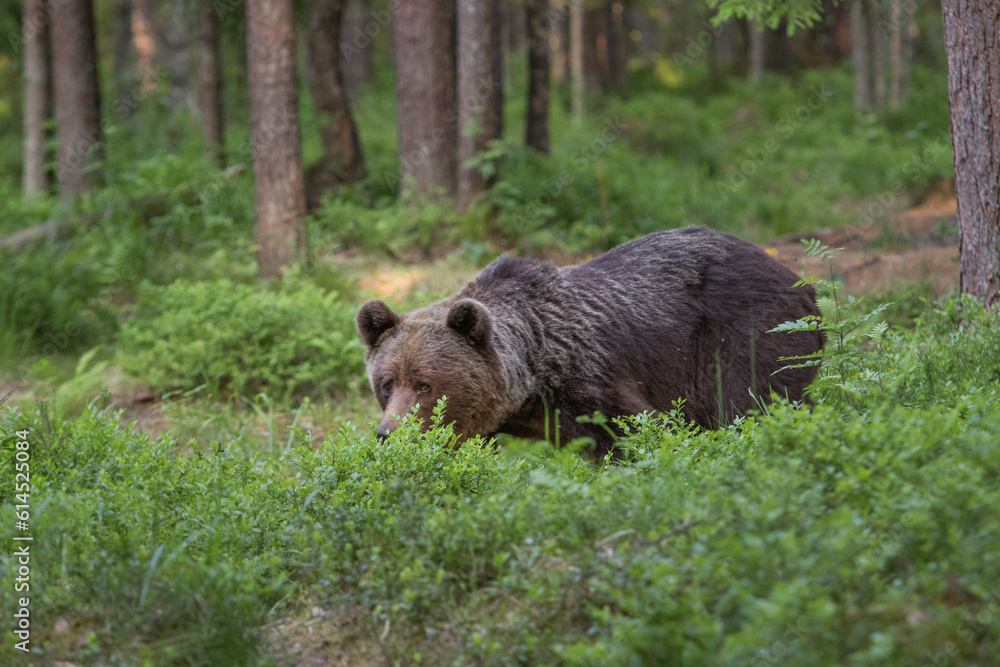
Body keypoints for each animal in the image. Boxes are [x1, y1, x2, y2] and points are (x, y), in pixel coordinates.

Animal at [356, 226, 824, 456]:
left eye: (425, 384)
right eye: (386, 384)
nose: (387, 433)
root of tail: (798, 277)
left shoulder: (592, 379)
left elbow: (639, 431)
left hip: (748, 329)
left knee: (752, 401)